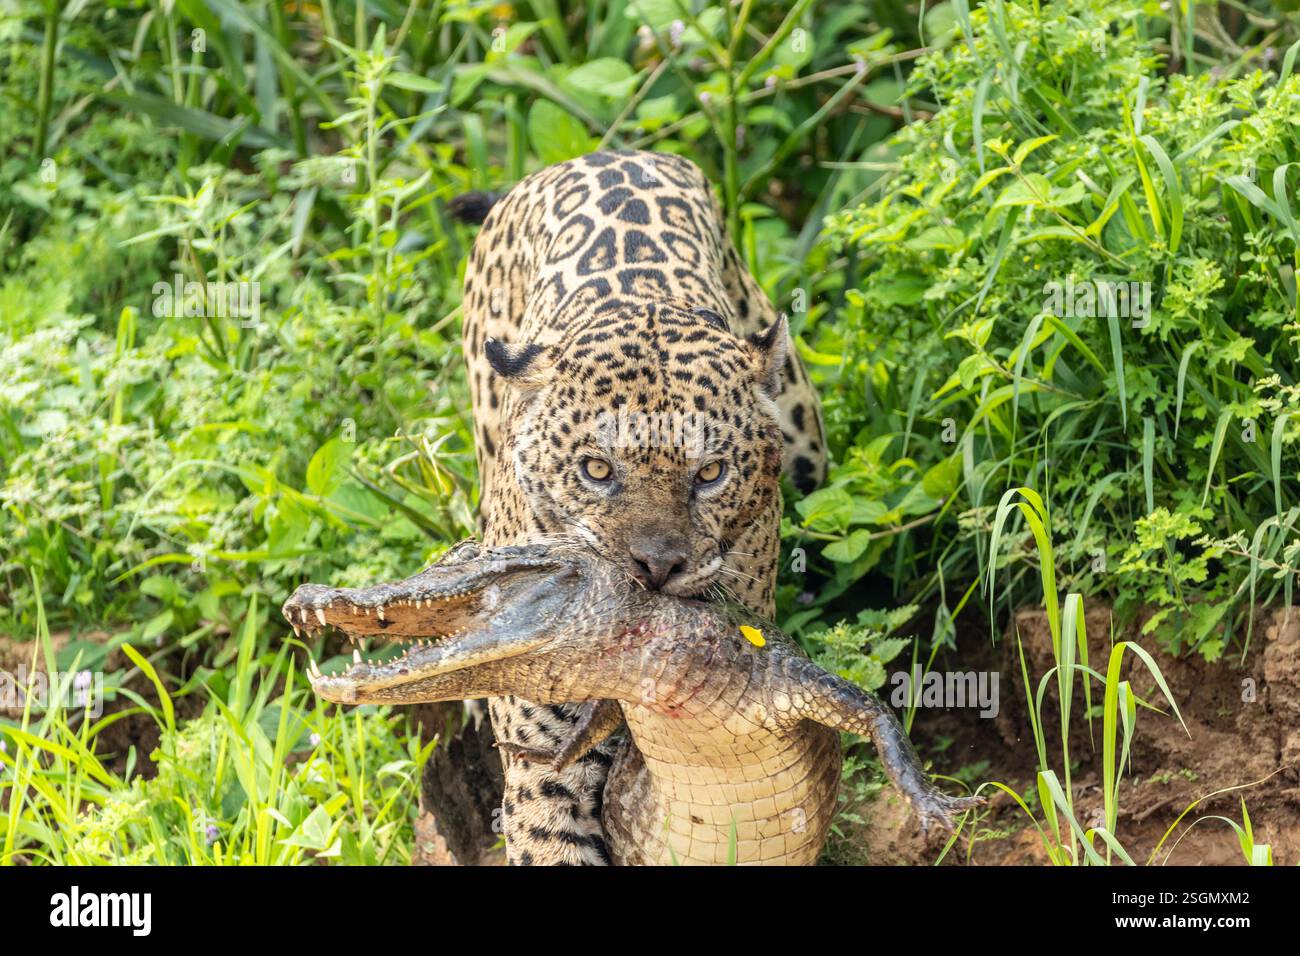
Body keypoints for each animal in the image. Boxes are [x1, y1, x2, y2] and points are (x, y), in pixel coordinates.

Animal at [453, 149, 826, 865]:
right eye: (597, 470)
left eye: (710, 474)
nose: (655, 568)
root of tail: (599, 153)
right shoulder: (547, 760)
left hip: (805, 441)